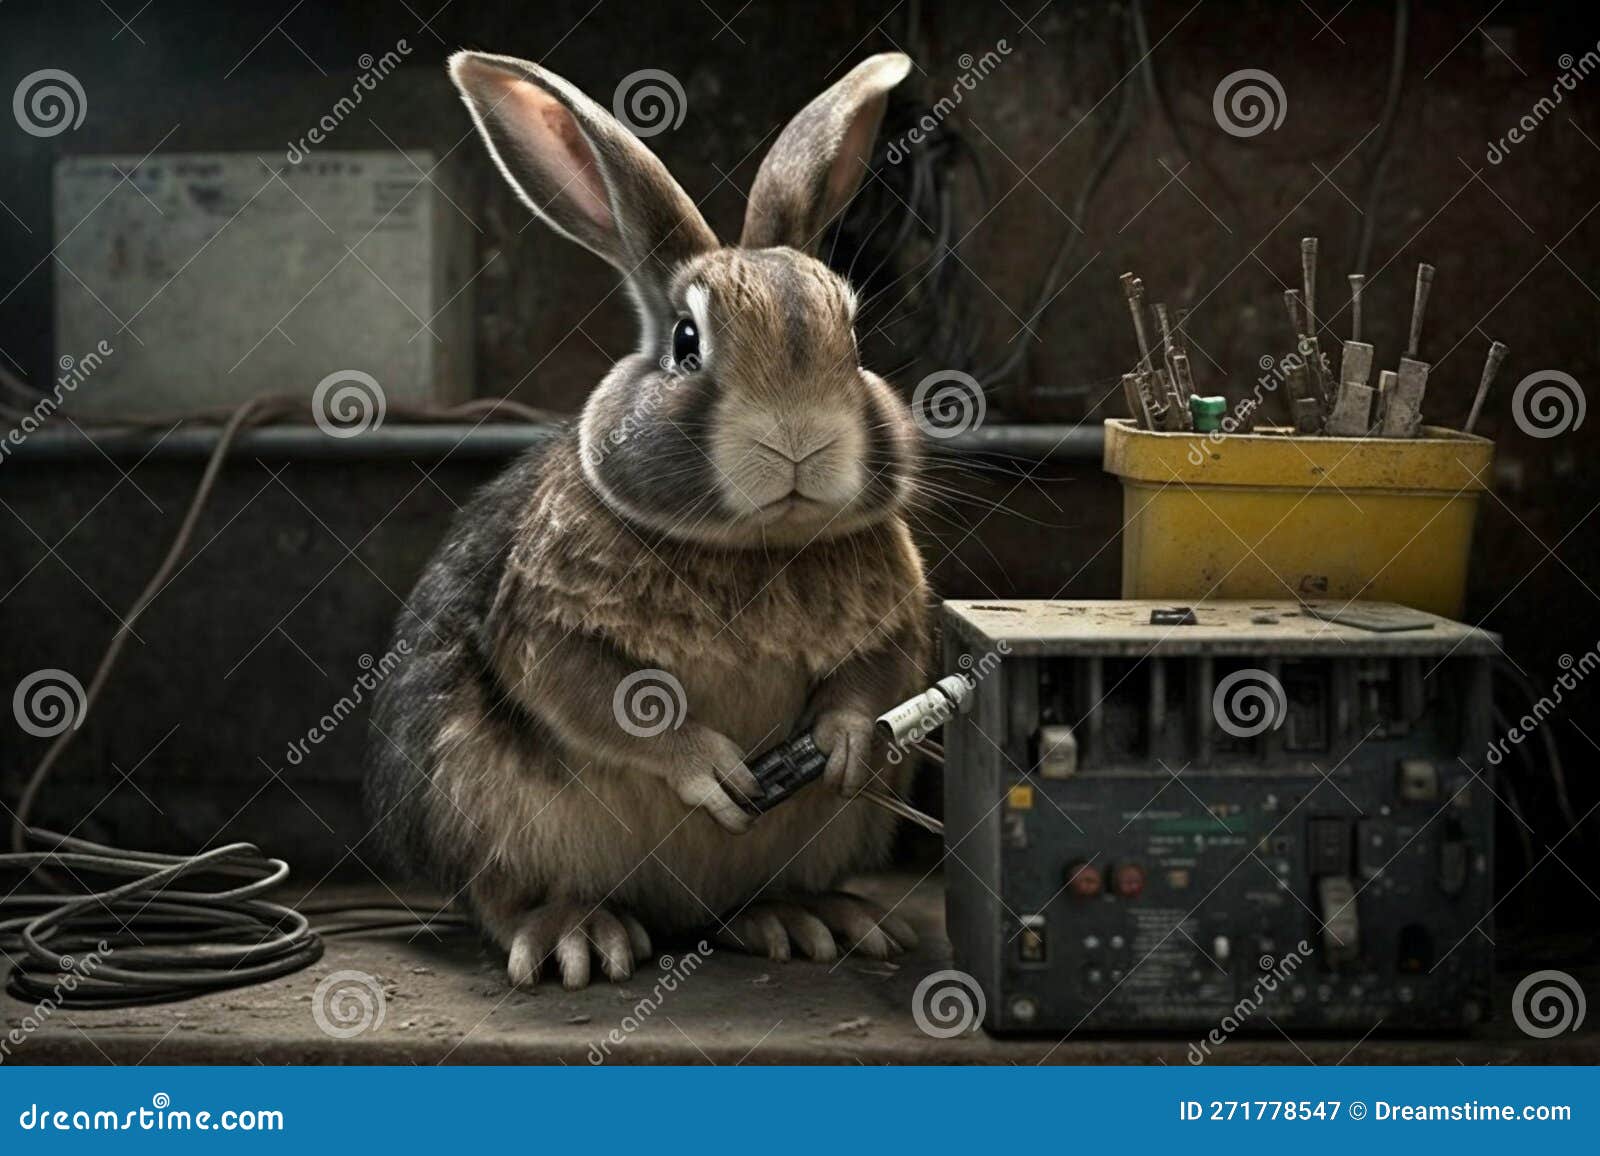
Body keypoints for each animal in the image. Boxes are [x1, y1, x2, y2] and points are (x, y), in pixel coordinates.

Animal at [364, 49, 931, 990]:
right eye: (686, 343)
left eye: (853, 340)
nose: (800, 438)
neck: (755, 547)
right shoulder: (547, 630)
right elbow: (602, 699)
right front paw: (713, 769)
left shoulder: (895, 627)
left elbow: (871, 684)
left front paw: (845, 746)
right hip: (474, 801)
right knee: (504, 898)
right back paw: (578, 937)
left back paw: (807, 920)